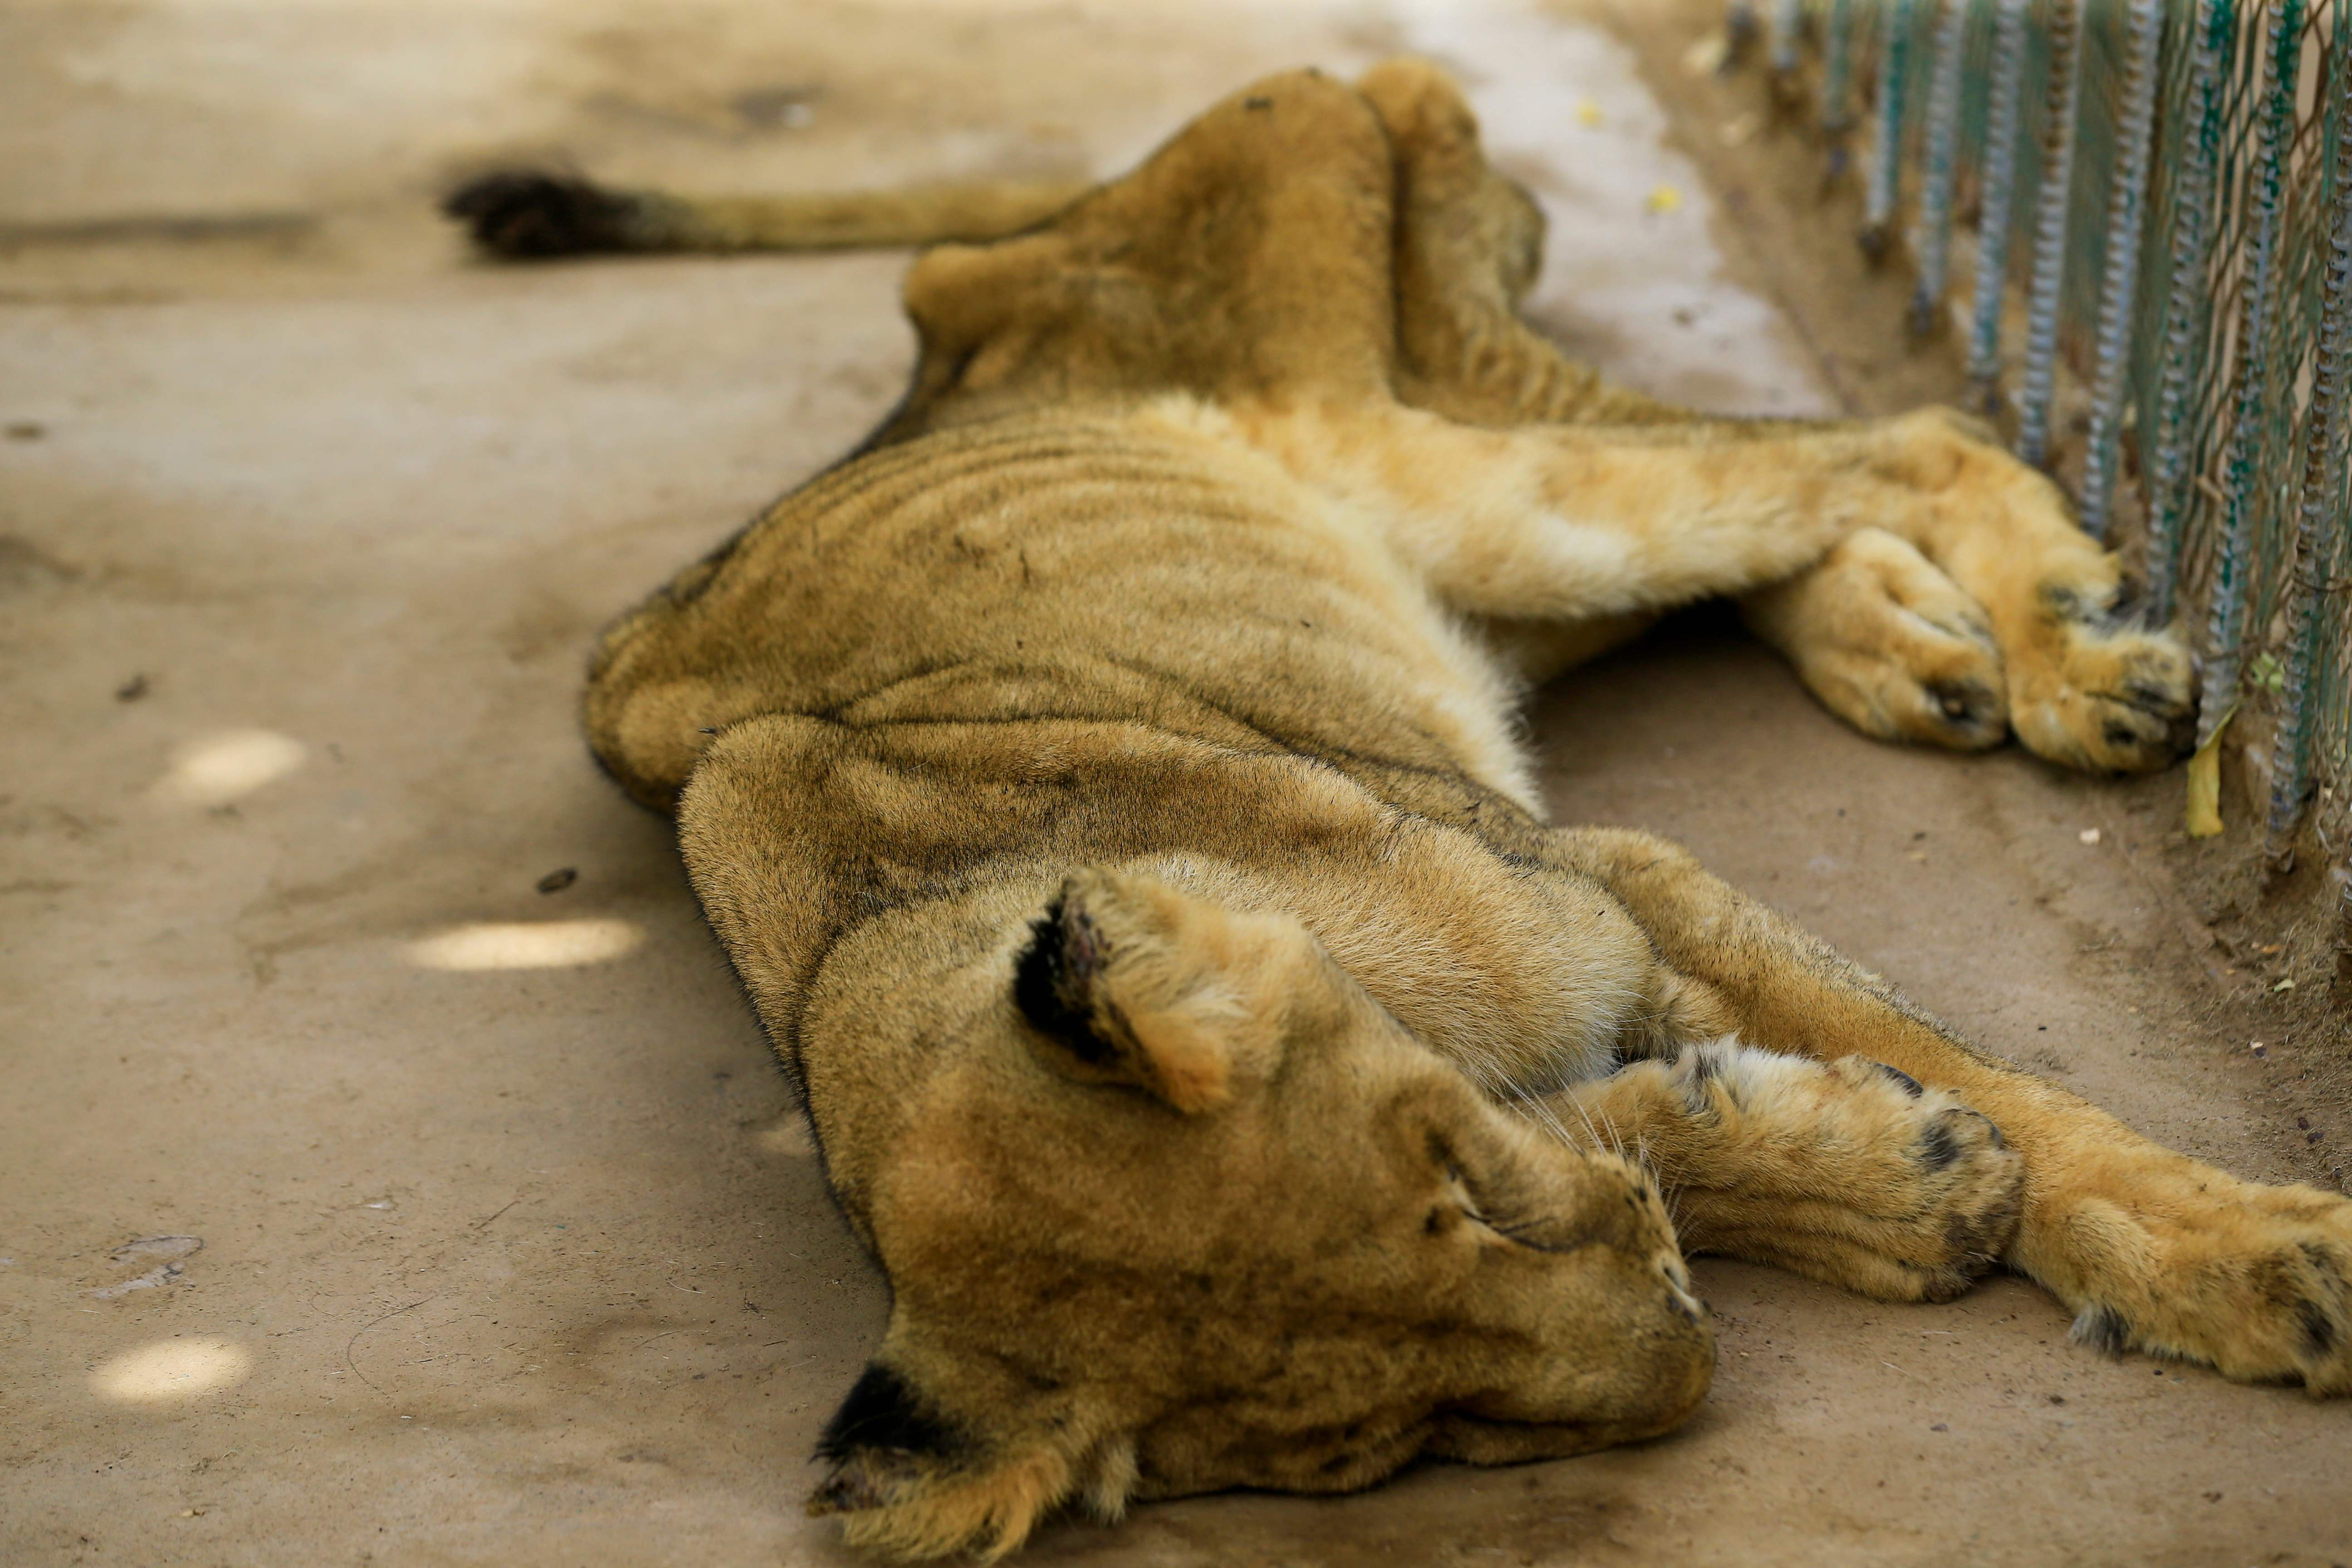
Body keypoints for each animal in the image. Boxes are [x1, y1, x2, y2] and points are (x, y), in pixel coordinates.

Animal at [446, 60, 2351, 1562]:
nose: (1685, 1348)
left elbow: (2023, 1105)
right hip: (1469, 556)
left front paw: (2257, 1257)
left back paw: (2066, 658)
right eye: (1415, 1440)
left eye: (1460, 1189)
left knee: (1898, 432)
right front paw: (1889, 1183)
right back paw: (1916, 648)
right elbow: (1677, 1130)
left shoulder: (1606, 877)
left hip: (1435, 458)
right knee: (1784, 503)